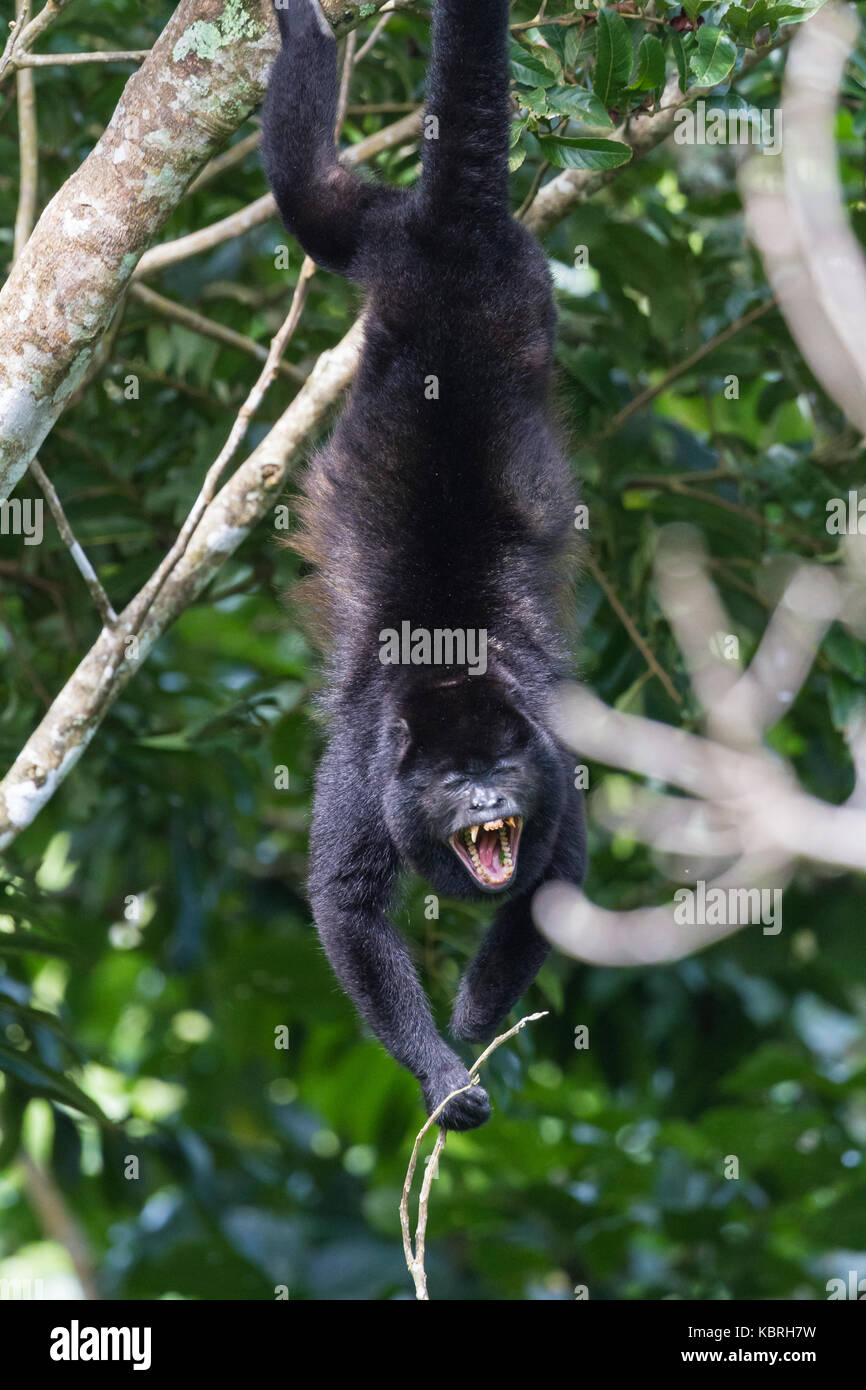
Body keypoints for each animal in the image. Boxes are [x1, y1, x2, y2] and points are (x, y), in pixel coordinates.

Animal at [261, 0, 586, 1130]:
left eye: (499, 769)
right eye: (451, 781)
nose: (488, 808)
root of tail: (449, 231)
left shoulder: (554, 750)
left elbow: (560, 883)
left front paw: (477, 1018)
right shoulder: (365, 767)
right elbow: (348, 906)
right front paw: (444, 1076)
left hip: (463, 255)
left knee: (313, 203)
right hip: (386, 234)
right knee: (311, 200)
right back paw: (308, 42)